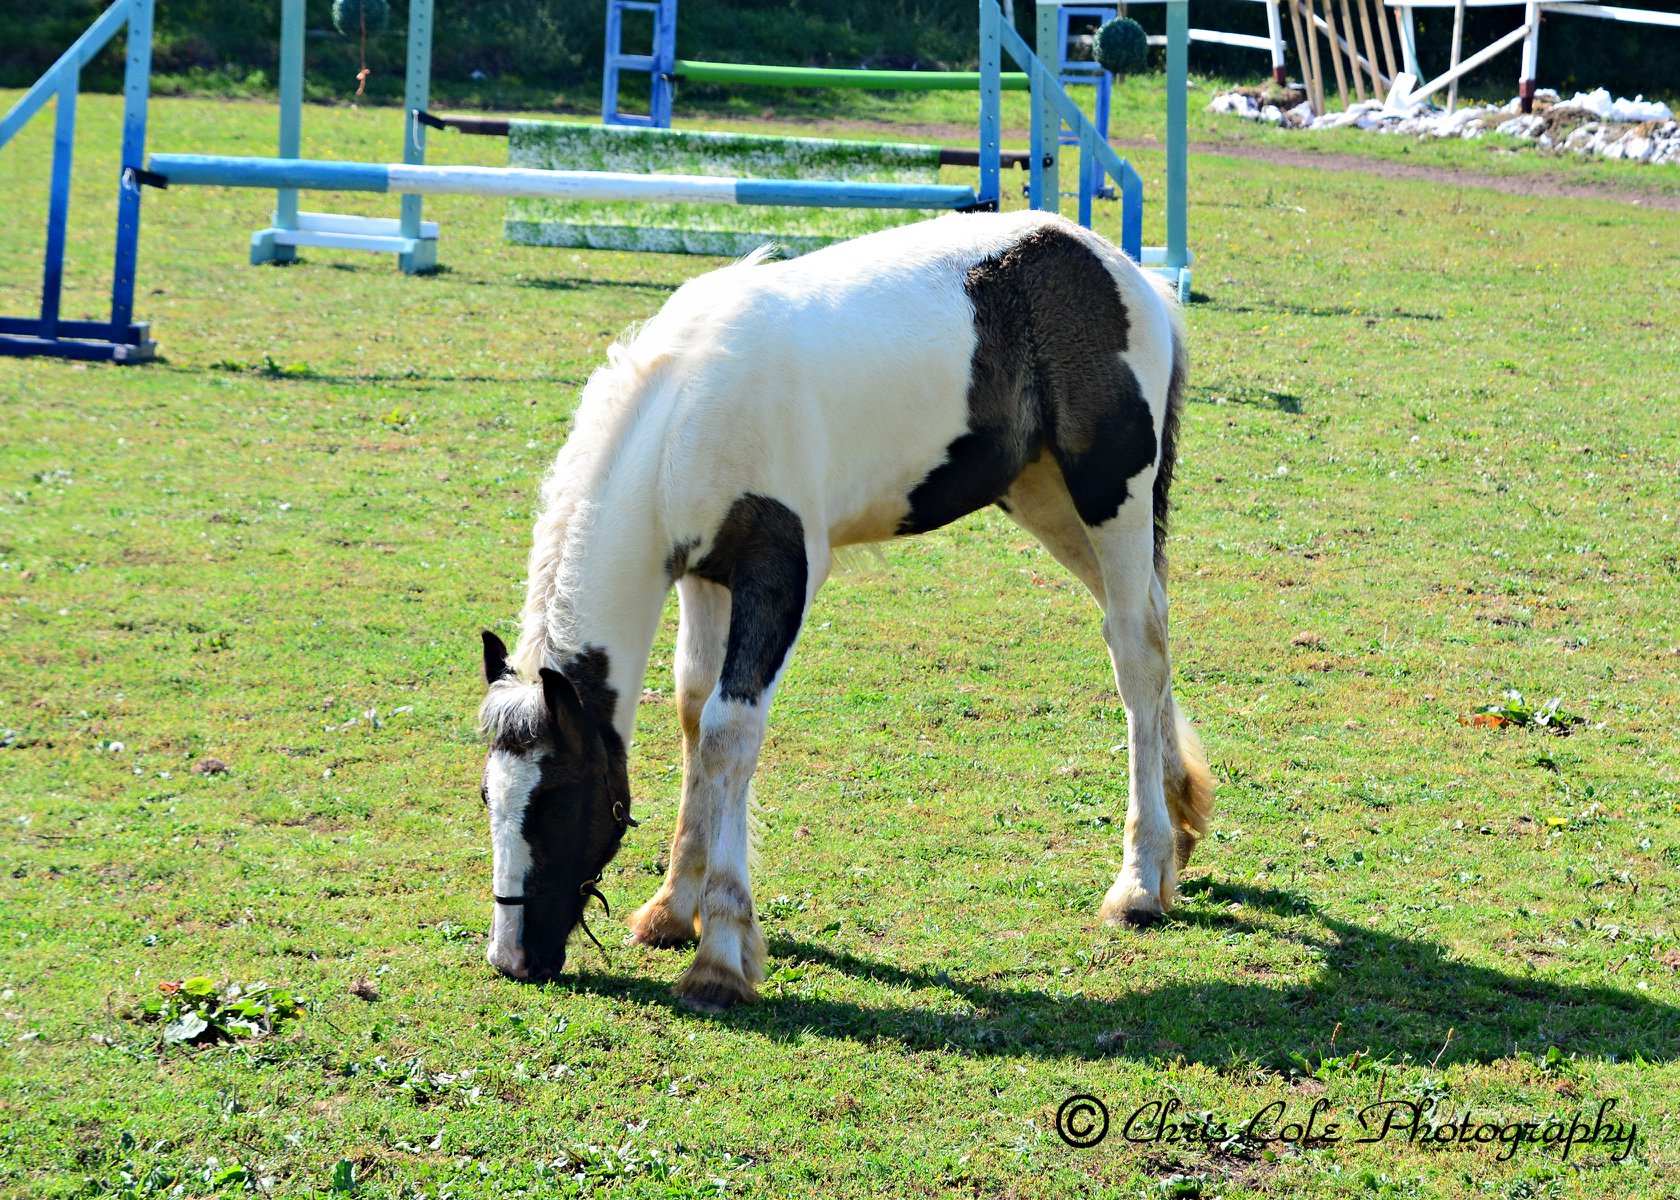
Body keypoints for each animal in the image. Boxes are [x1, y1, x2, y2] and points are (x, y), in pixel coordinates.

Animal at [477, 208, 1213, 1011]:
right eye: (488, 796)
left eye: (554, 801)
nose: (512, 959)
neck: (688, 415)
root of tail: (1122, 269)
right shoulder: (706, 577)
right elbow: (694, 713)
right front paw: (673, 909)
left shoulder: (780, 573)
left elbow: (729, 733)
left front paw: (720, 956)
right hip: (1046, 499)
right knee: (1151, 624)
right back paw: (1179, 827)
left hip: (1111, 495)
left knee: (1136, 655)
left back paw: (1139, 882)